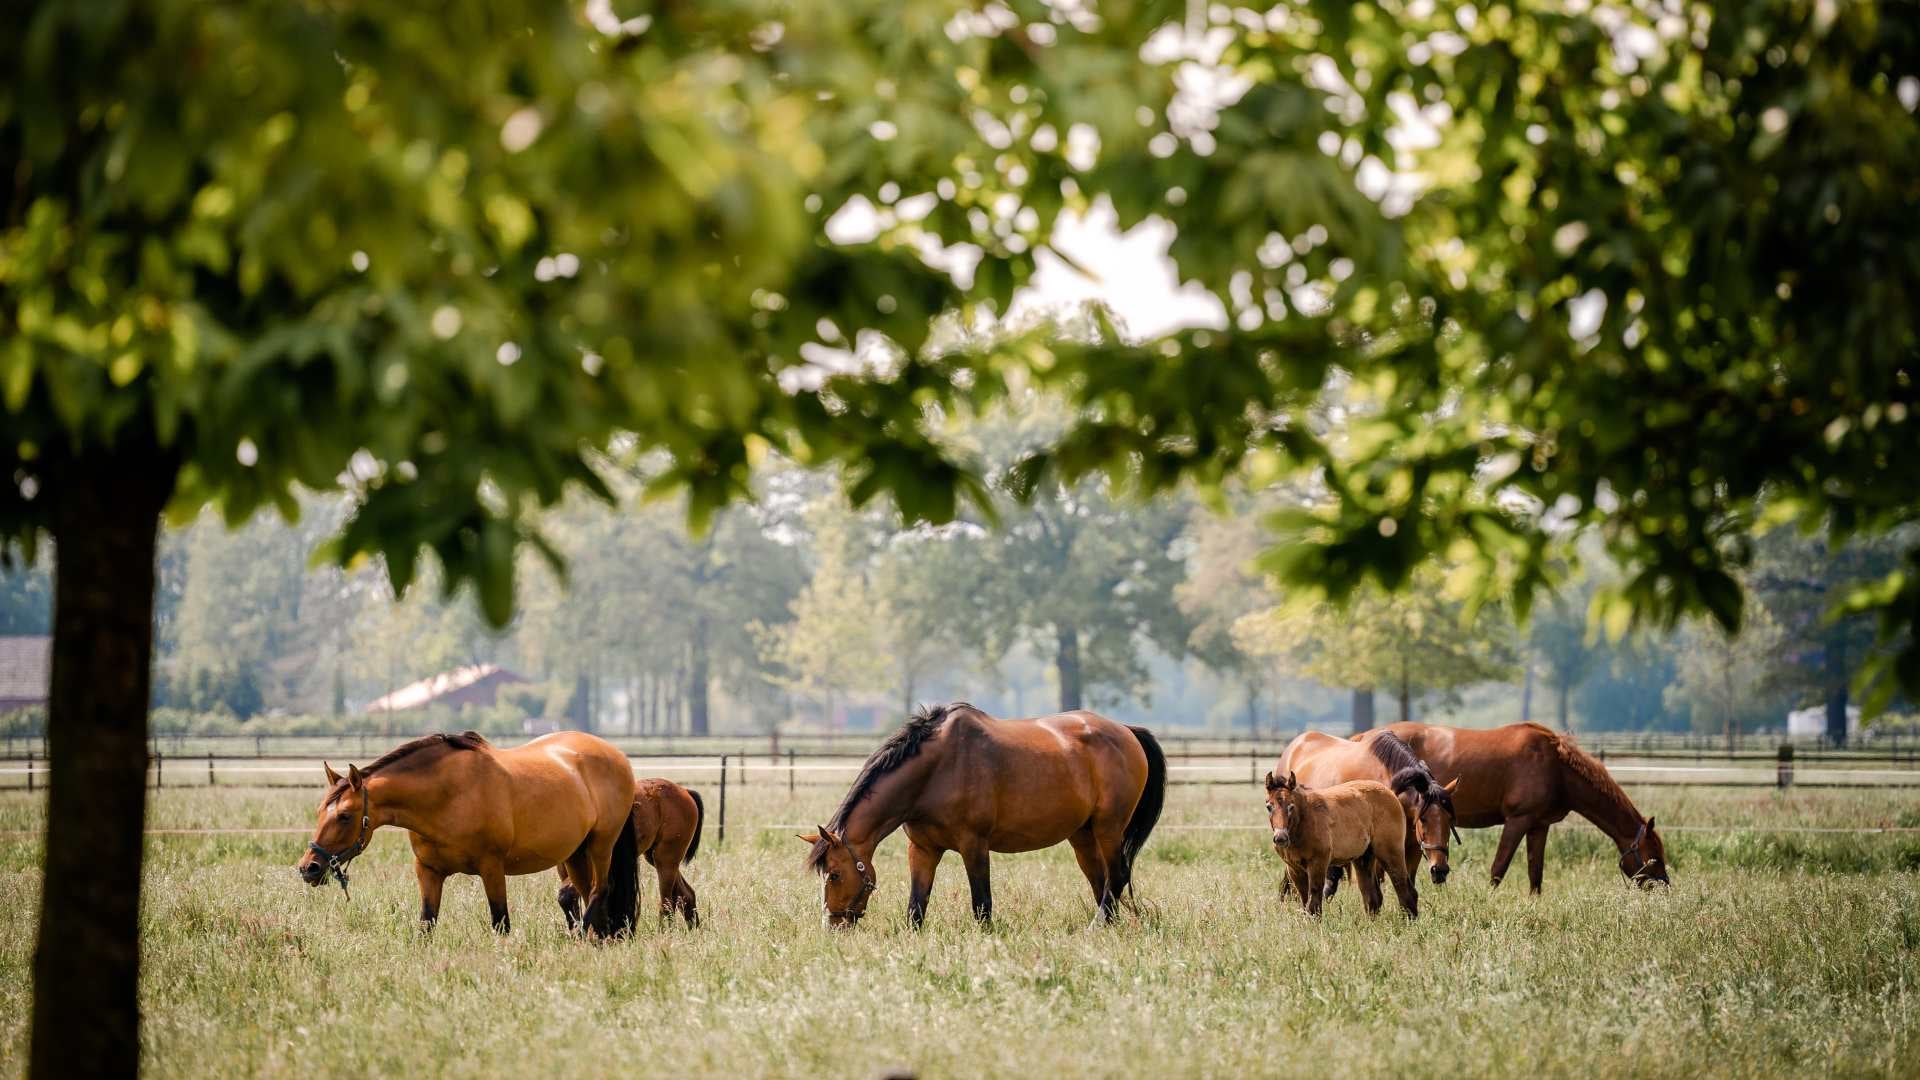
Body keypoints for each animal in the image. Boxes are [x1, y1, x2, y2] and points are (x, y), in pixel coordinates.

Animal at [295, 730, 641, 936]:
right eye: (320, 811)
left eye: (344, 816)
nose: (308, 867)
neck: (448, 795)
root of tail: (617, 756)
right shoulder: (429, 871)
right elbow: (427, 925)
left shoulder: (492, 869)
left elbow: (501, 923)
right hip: (574, 854)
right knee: (587, 893)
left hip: (601, 846)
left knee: (599, 890)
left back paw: (581, 938)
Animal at [557, 777, 705, 929]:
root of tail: (685, 791)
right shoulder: (565, 866)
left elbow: (571, 894)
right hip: (656, 858)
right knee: (686, 895)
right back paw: (693, 929)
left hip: (666, 858)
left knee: (667, 901)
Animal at [799, 702, 1166, 928]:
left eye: (834, 875)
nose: (833, 925)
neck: (936, 771)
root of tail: (1126, 731)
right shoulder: (923, 849)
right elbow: (916, 907)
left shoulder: (974, 845)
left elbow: (981, 902)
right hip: (1082, 836)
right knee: (1102, 882)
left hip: (1108, 829)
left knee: (1117, 876)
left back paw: (1096, 928)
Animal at [1263, 771, 1418, 919]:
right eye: (1269, 806)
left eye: (1291, 807)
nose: (1280, 838)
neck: (1303, 820)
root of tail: (1391, 793)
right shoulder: (1294, 868)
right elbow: (1304, 900)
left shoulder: (1318, 863)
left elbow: (1313, 902)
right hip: (1363, 858)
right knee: (1372, 897)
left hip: (1390, 853)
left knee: (1404, 888)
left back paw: (1408, 922)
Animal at [1367, 721, 1670, 892]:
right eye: (1654, 856)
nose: (1664, 888)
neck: (1556, 767)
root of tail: (1364, 737)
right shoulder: (1517, 821)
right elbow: (1498, 868)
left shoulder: (1539, 826)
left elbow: (1535, 873)